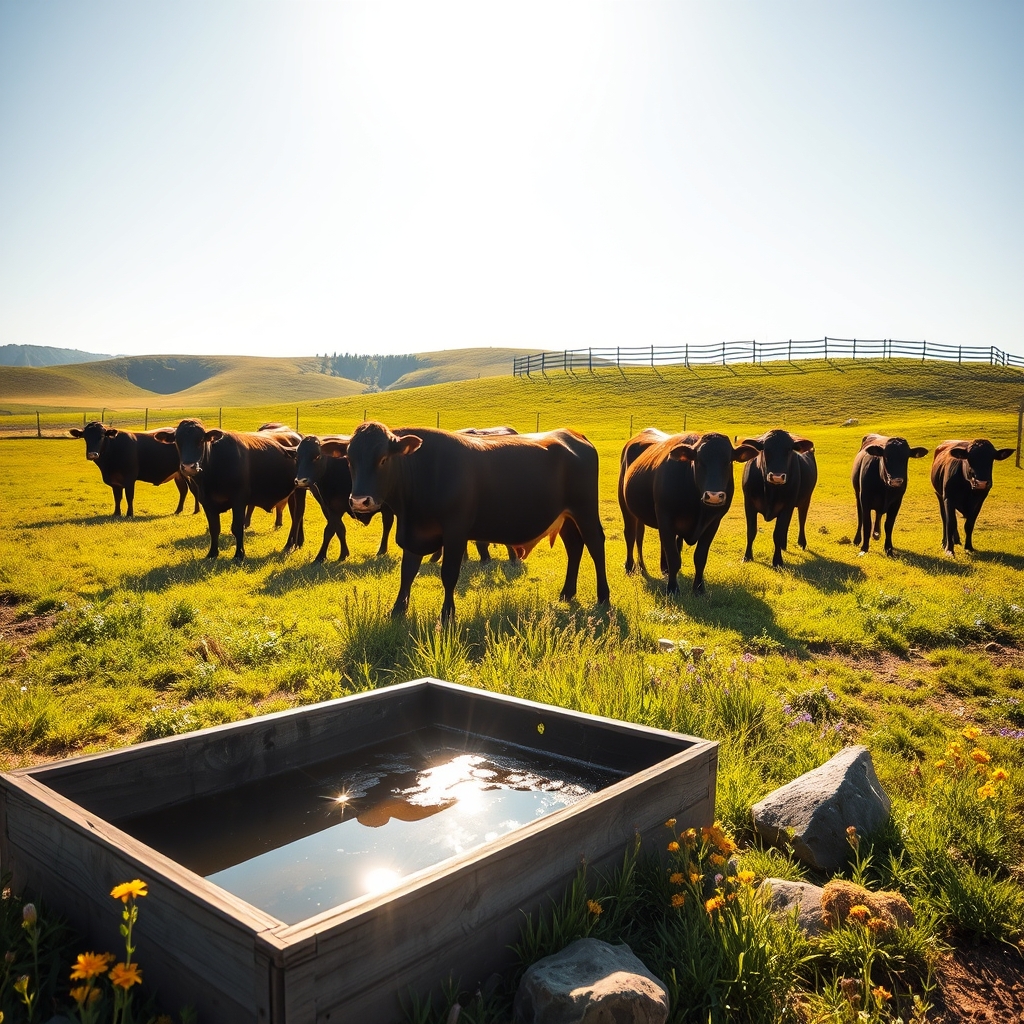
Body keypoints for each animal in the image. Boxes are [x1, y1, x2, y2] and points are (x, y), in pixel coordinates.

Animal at [69, 421, 199, 517]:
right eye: (85, 437)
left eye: (101, 436)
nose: (92, 454)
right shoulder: (114, 482)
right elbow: (117, 497)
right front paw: (116, 513)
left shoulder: (129, 478)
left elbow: (129, 496)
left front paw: (129, 514)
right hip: (179, 474)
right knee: (183, 490)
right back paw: (178, 511)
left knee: (194, 489)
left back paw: (196, 510)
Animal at [154, 419, 305, 560]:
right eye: (177, 441)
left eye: (201, 440)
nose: (188, 466)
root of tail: (297, 435)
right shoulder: (207, 502)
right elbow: (214, 528)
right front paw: (212, 553)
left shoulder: (239, 500)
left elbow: (237, 527)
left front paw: (239, 554)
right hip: (292, 493)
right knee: (296, 515)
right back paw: (298, 542)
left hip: (300, 489)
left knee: (298, 515)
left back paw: (289, 545)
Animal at [339, 421, 609, 622]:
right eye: (349, 460)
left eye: (383, 459)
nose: (360, 501)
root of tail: (572, 434)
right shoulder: (414, 533)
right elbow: (407, 573)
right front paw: (397, 611)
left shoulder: (455, 532)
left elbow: (448, 574)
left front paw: (447, 615)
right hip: (565, 518)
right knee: (574, 547)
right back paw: (566, 594)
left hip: (585, 511)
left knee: (595, 545)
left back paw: (603, 597)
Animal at [618, 429, 757, 594]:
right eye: (699, 460)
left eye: (728, 461)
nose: (714, 496)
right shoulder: (665, 517)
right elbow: (674, 557)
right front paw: (672, 588)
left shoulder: (713, 522)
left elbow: (700, 557)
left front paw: (698, 588)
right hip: (625, 506)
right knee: (630, 535)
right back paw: (630, 567)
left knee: (641, 536)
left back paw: (650, 568)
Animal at [739, 430, 818, 567]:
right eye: (766, 449)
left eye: (789, 449)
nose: (777, 477)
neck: (770, 491)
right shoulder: (749, 504)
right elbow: (751, 531)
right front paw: (747, 556)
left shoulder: (787, 507)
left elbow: (777, 534)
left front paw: (777, 561)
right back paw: (783, 546)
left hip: (805, 500)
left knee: (802, 520)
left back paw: (801, 543)